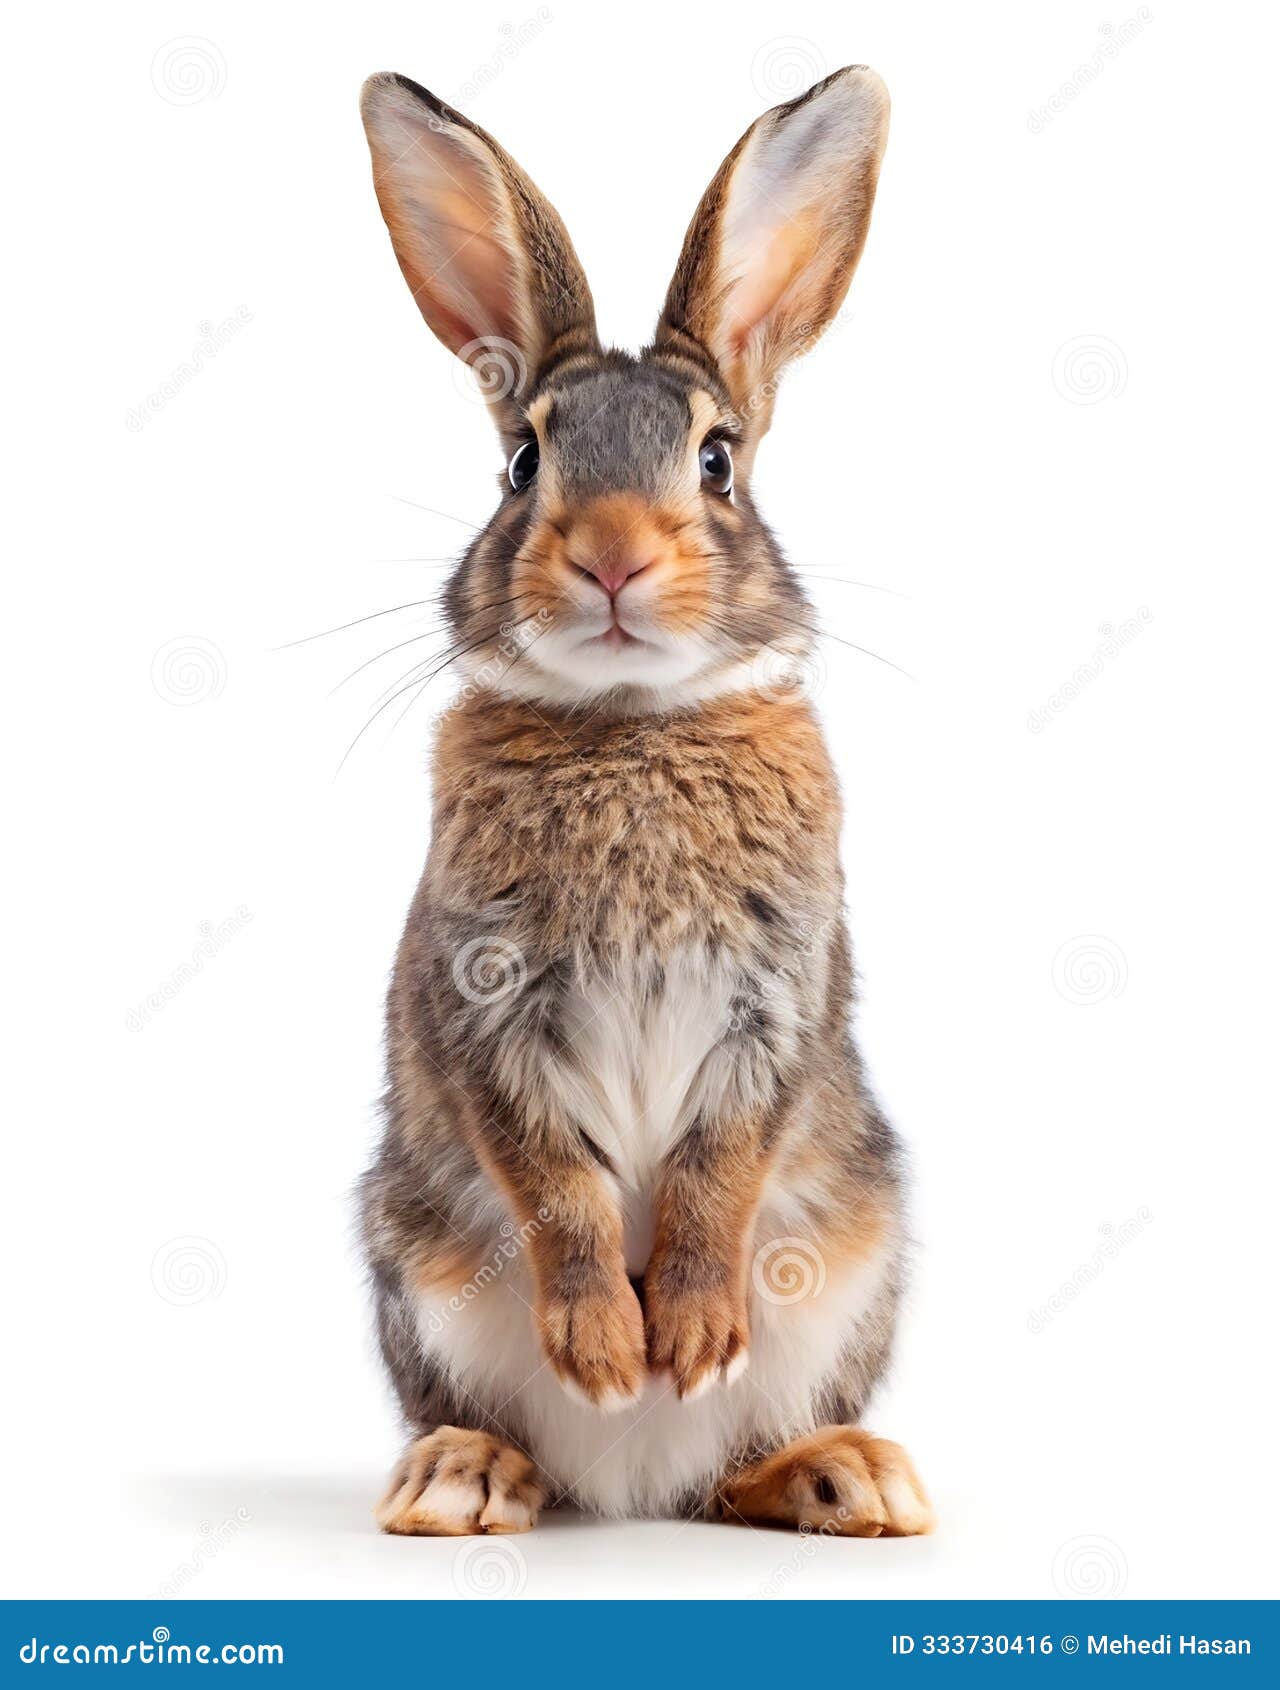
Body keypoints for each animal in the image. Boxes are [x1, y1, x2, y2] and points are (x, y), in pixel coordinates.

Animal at [357, 63, 933, 1539]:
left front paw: (687, 1333)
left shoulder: (776, 990)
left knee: (734, 1465)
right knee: (510, 1432)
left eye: (718, 460)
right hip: (414, 1266)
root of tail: (632, 1488)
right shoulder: (483, 990)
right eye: (521, 463)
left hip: (857, 1257)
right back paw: (466, 1476)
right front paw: (610, 1349)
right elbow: (553, 1183)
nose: (612, 555)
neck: (628, 724)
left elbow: (720, 1172)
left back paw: (844, 1476)